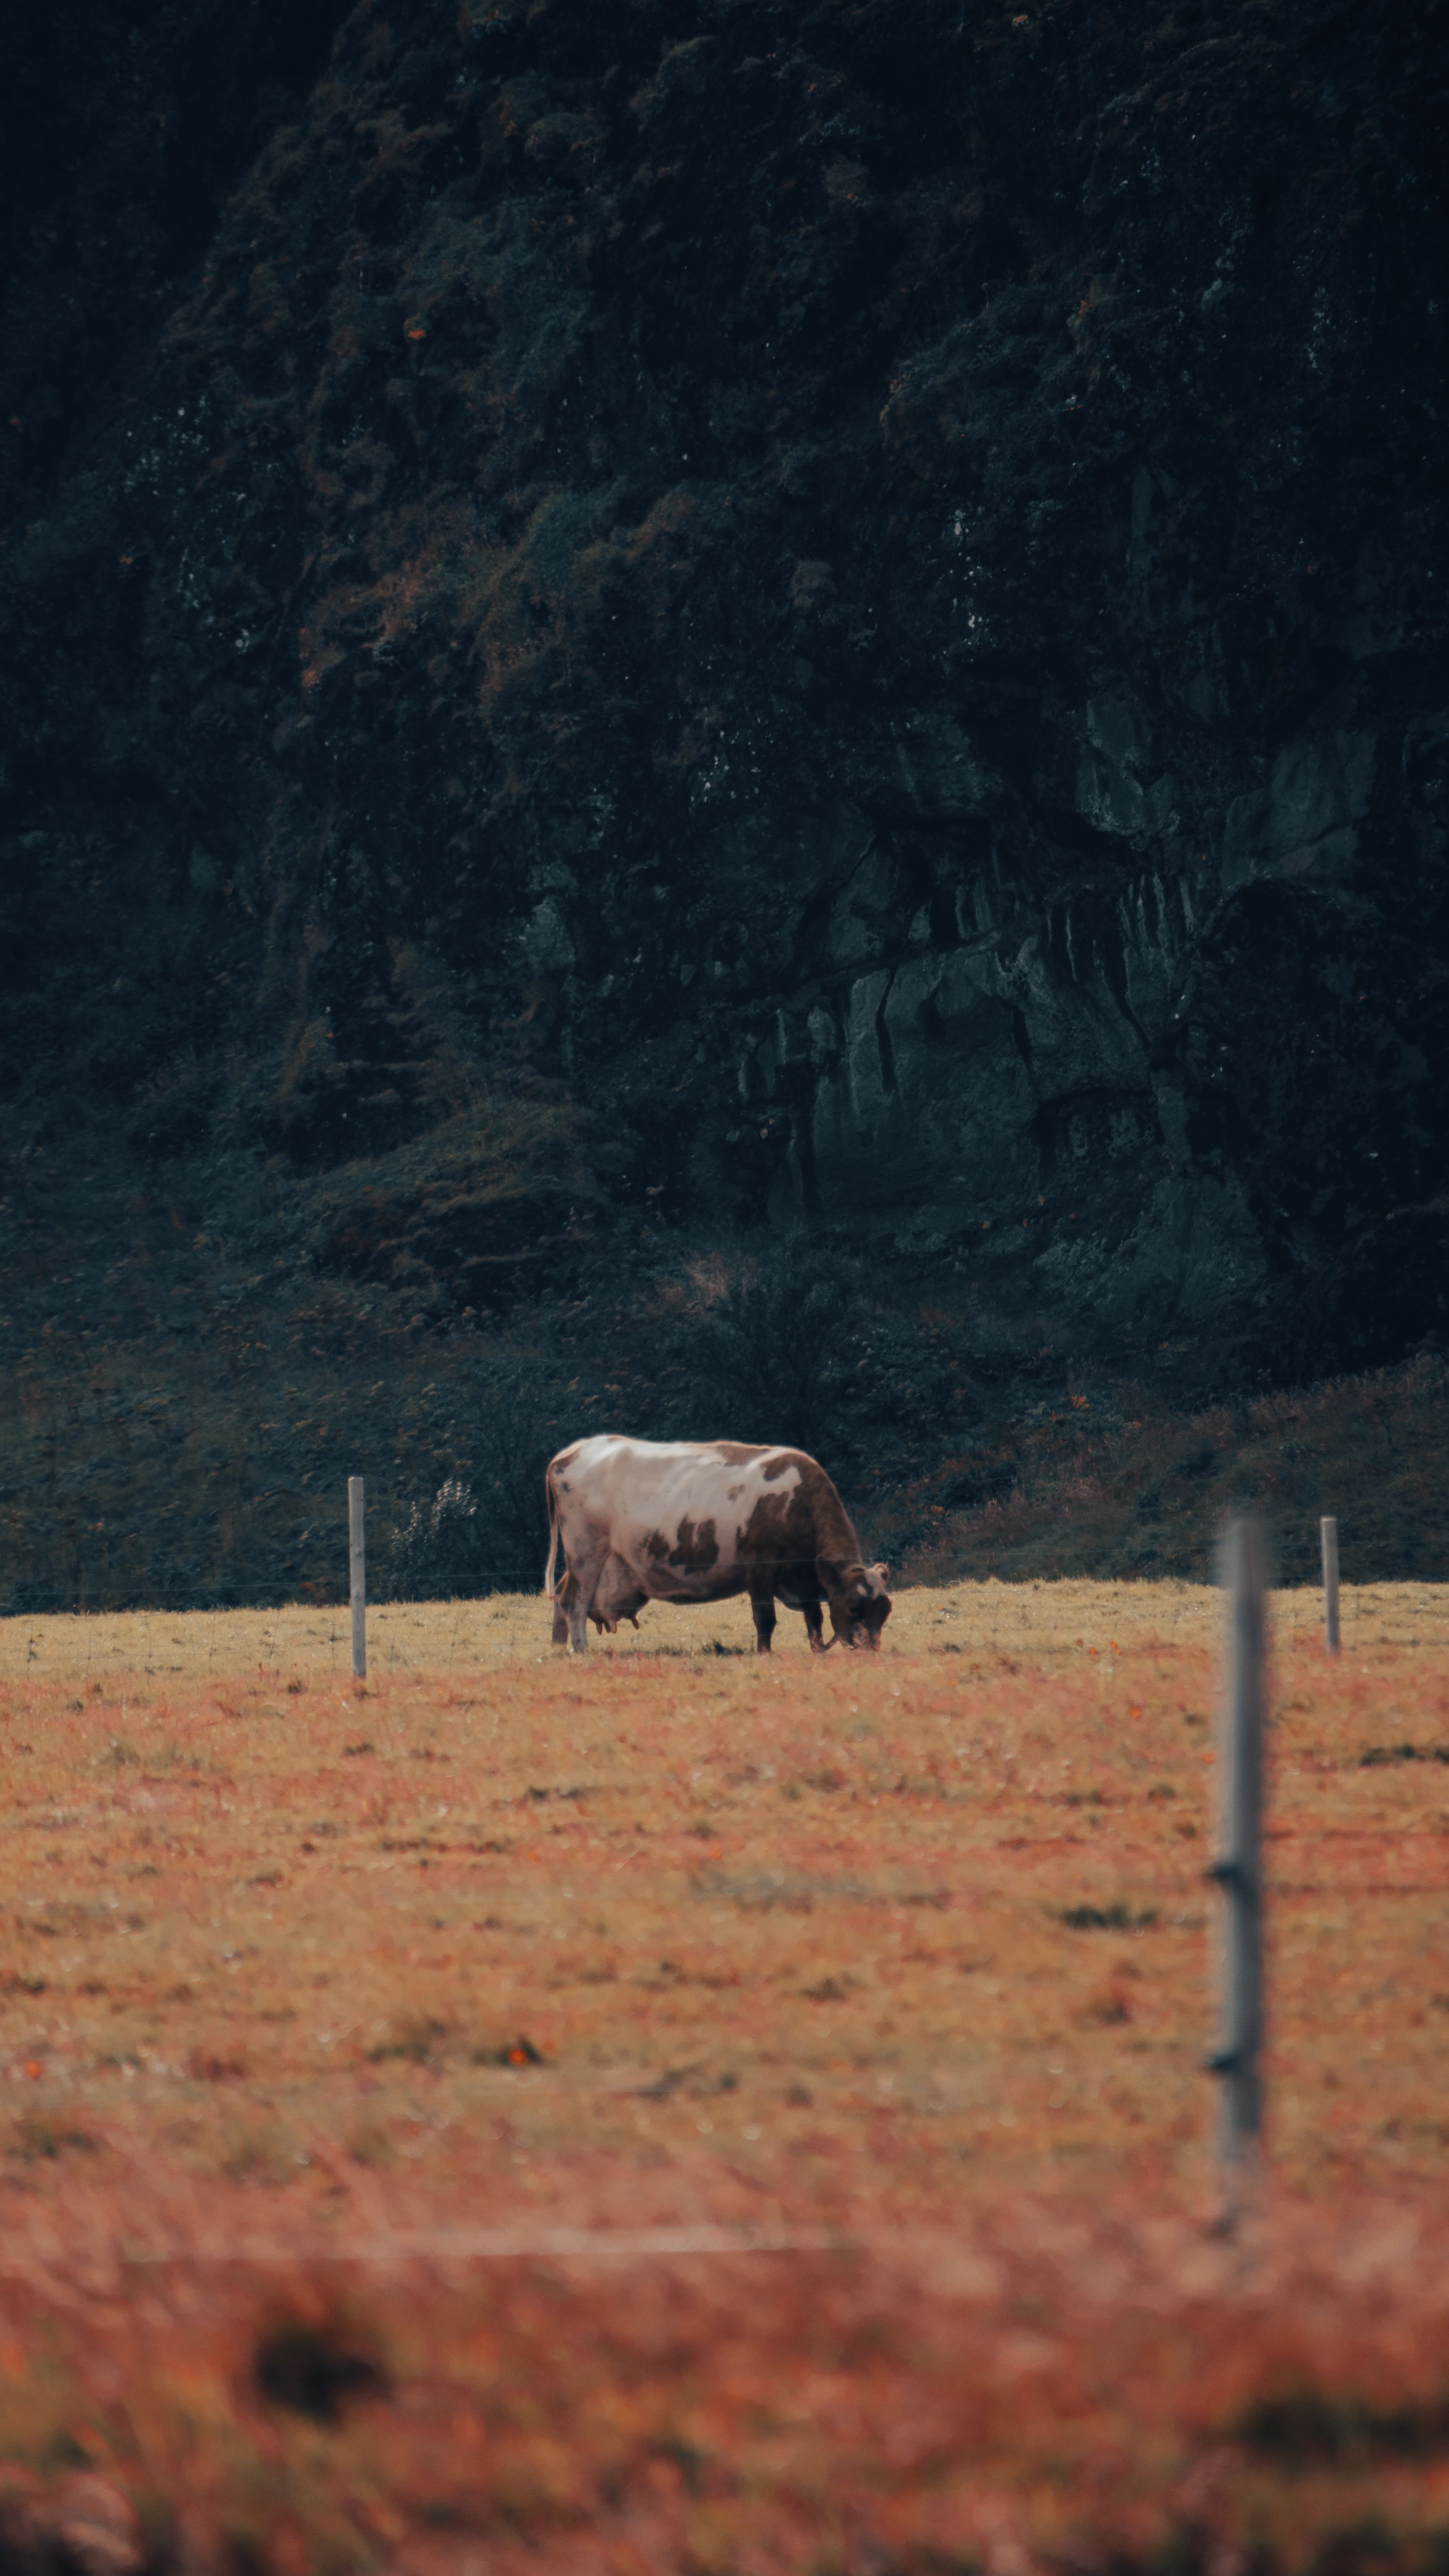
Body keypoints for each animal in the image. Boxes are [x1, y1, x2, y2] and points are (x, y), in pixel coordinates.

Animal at [543, 1435, 892, 1655]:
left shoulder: (805, 1581)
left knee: (561, 1595)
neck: (795, 1502)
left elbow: (815, 1619)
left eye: (885, 1612)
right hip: (586, 1554)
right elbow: (765, 1618)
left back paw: (560, 1647)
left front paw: (817, 1651)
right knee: (574, 1602)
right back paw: (581, 1649)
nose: (869, 1652)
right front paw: (764, 1654)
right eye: (854, 1608)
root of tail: (569, 1453)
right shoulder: (759, 1570)